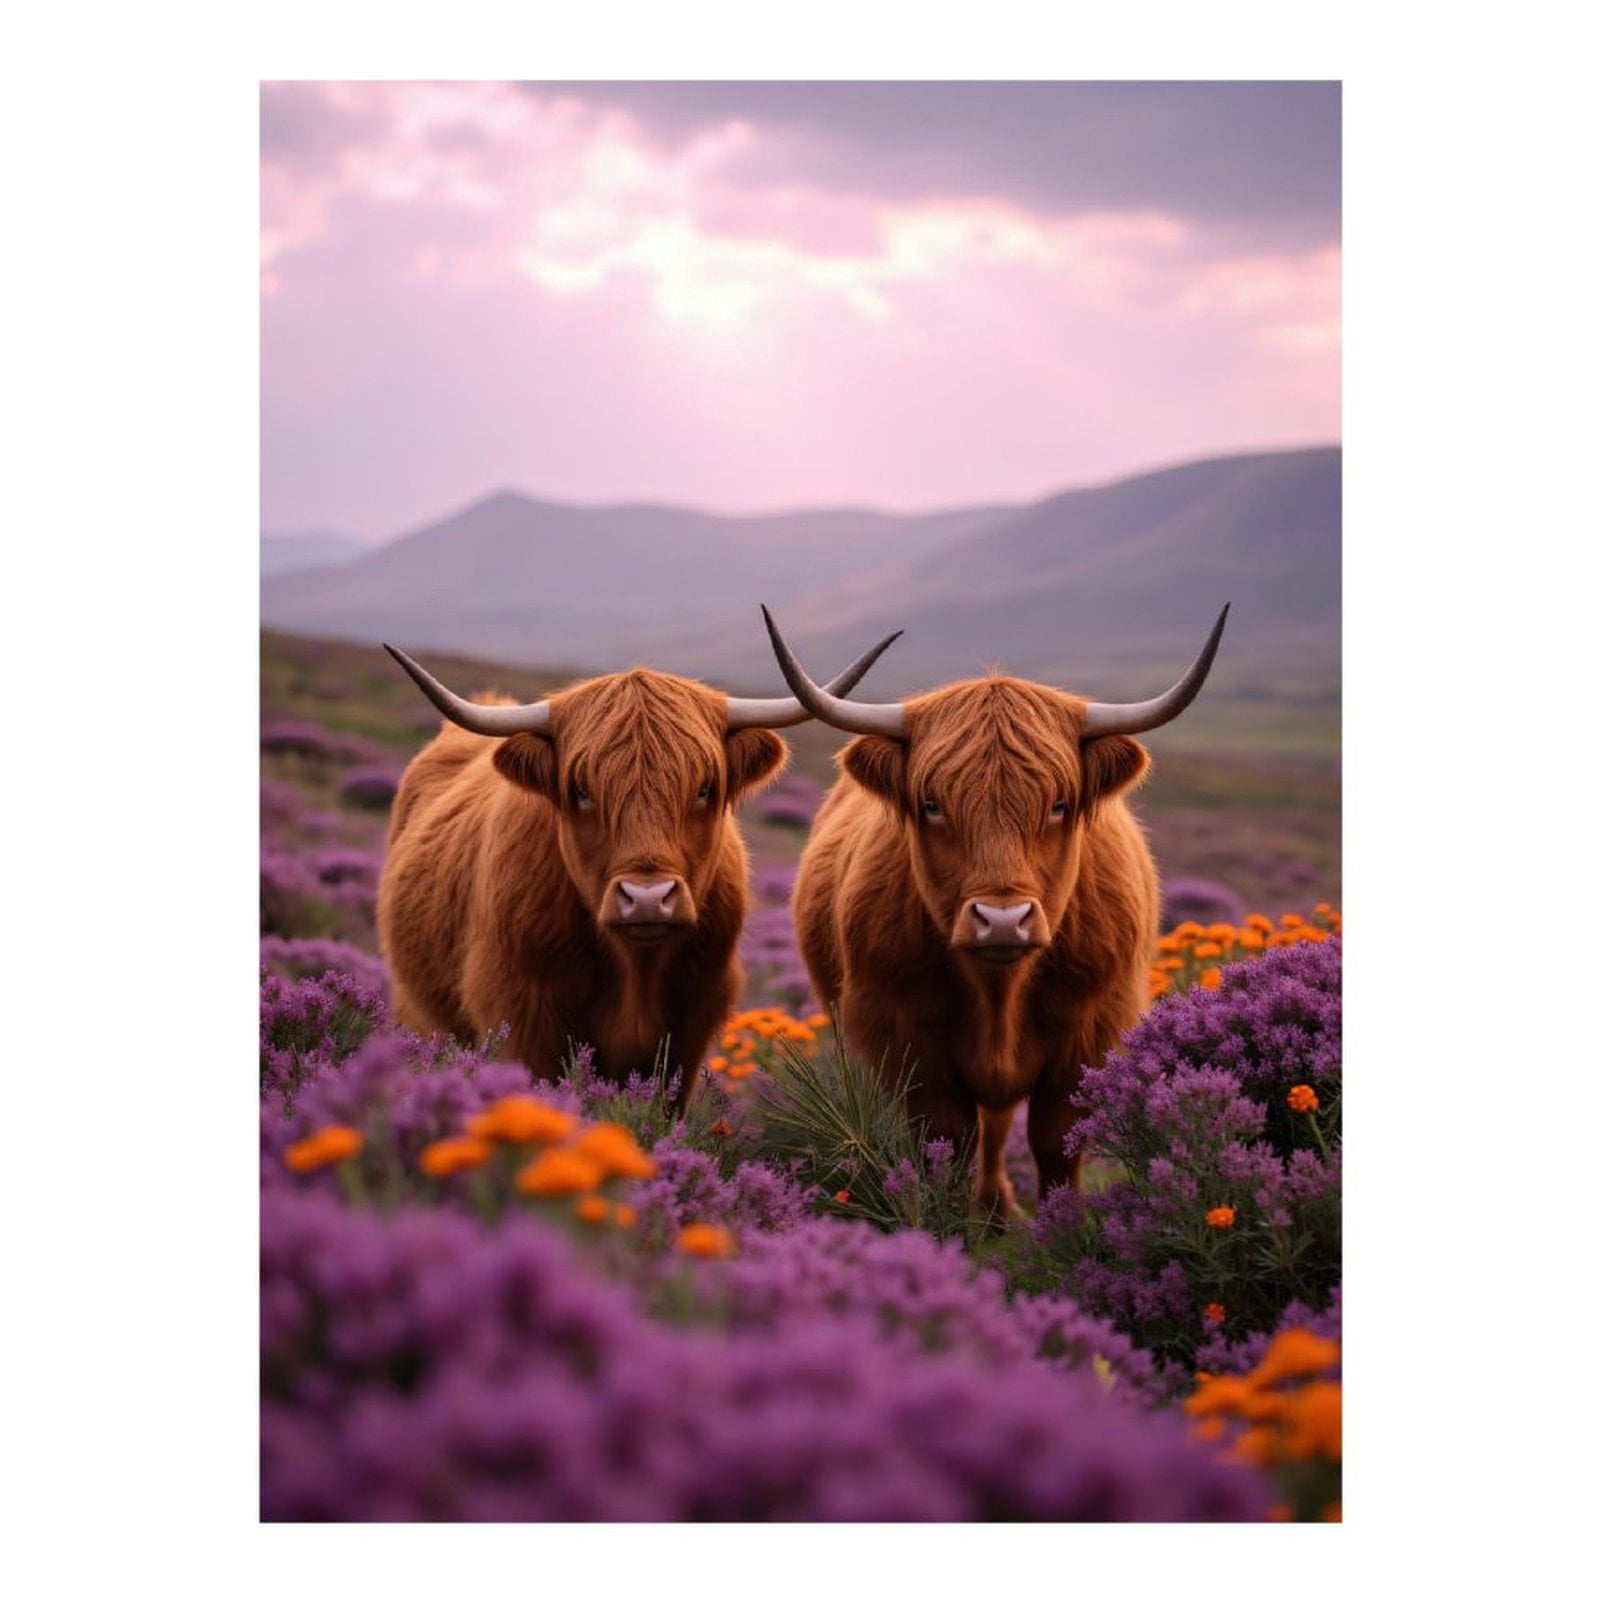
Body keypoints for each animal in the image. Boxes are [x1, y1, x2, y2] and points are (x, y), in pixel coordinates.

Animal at [376, 635, 897, 1106]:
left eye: (705, 788)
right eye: (581, 791)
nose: (648, 898)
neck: (634, 971)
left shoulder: (690, 1029)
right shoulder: (520, 1018)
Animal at [761, 604, 1229, 1211]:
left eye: (1059, 804)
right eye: (932, 805)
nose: (1003, 920)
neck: (999, 993)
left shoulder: (1090, 1038)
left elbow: (1057, 1144)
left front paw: (1061, 1223)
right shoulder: (906, 1045)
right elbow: (946, 1143)